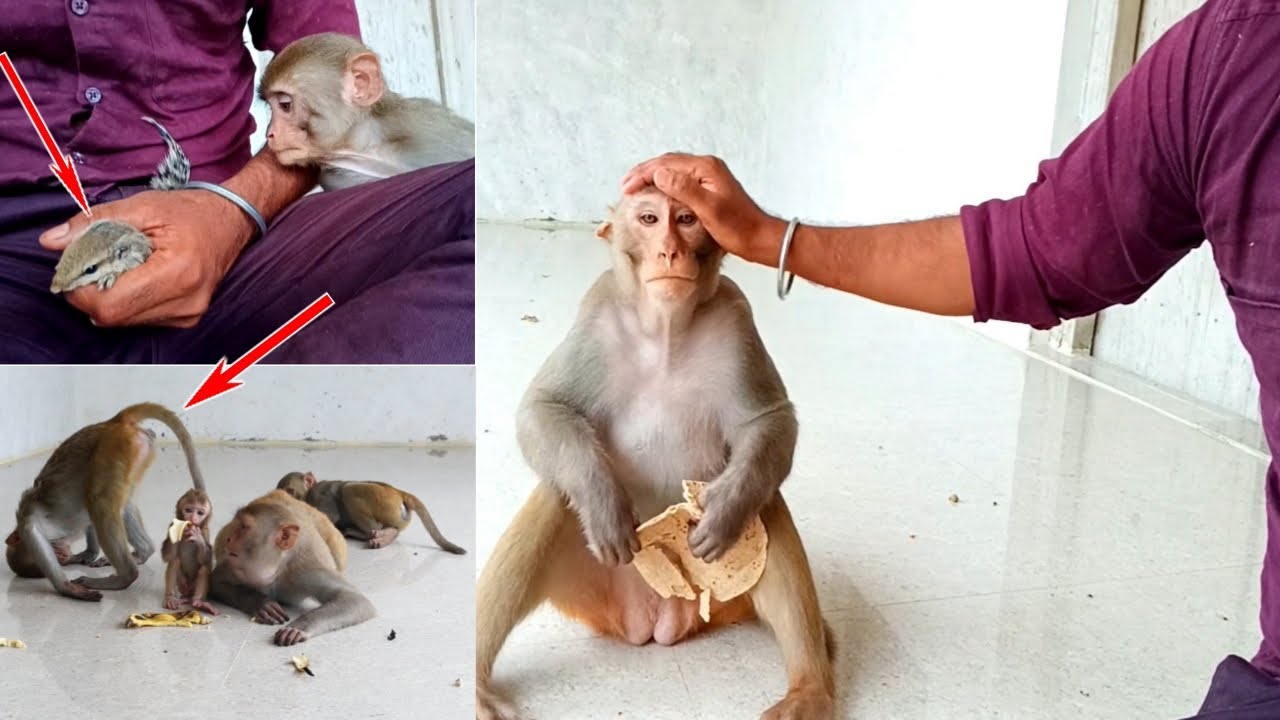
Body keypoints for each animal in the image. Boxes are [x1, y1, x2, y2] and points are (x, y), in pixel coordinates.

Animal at [5, 402, 206, 602]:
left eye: (58, 554)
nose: (63, 556)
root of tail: (113, 423)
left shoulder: (28, 523)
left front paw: (68, 589)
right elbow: (89, 516)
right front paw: (88, 554)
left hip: (115, 449)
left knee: (99, 502)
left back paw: (125, 575)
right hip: (135, 452)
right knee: (116, 503)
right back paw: (143, 552)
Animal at [209, 489, 375, 646]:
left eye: (244, 527)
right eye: (236, 525)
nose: (229, 538)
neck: (277, 568)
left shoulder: (306, 571)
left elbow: (354, 599)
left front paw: (297, 628)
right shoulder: (236, 567)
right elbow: (216, 582)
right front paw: (260, 602)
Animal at [275, 471, 467, 554]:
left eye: (290, 491)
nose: (283, 499)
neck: (308, 496)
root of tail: (397, 492)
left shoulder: (321, 494)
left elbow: (330, 515)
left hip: (383, 500)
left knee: (349, 490)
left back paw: (383, 533)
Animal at [475, 186, 837, 720]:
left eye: (686, 218)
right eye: (649, 219)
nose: (669, 250)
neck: (666, 330)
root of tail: (659, 615)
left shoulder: (736, 317)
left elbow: (769, 421)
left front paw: (725, 512)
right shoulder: (598, 311)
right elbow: (542, 408)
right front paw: (603, 502)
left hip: (720, 601)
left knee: (767, 502)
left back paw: (809, 685)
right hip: (594, 590)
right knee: (554, 495)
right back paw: (478, 681)